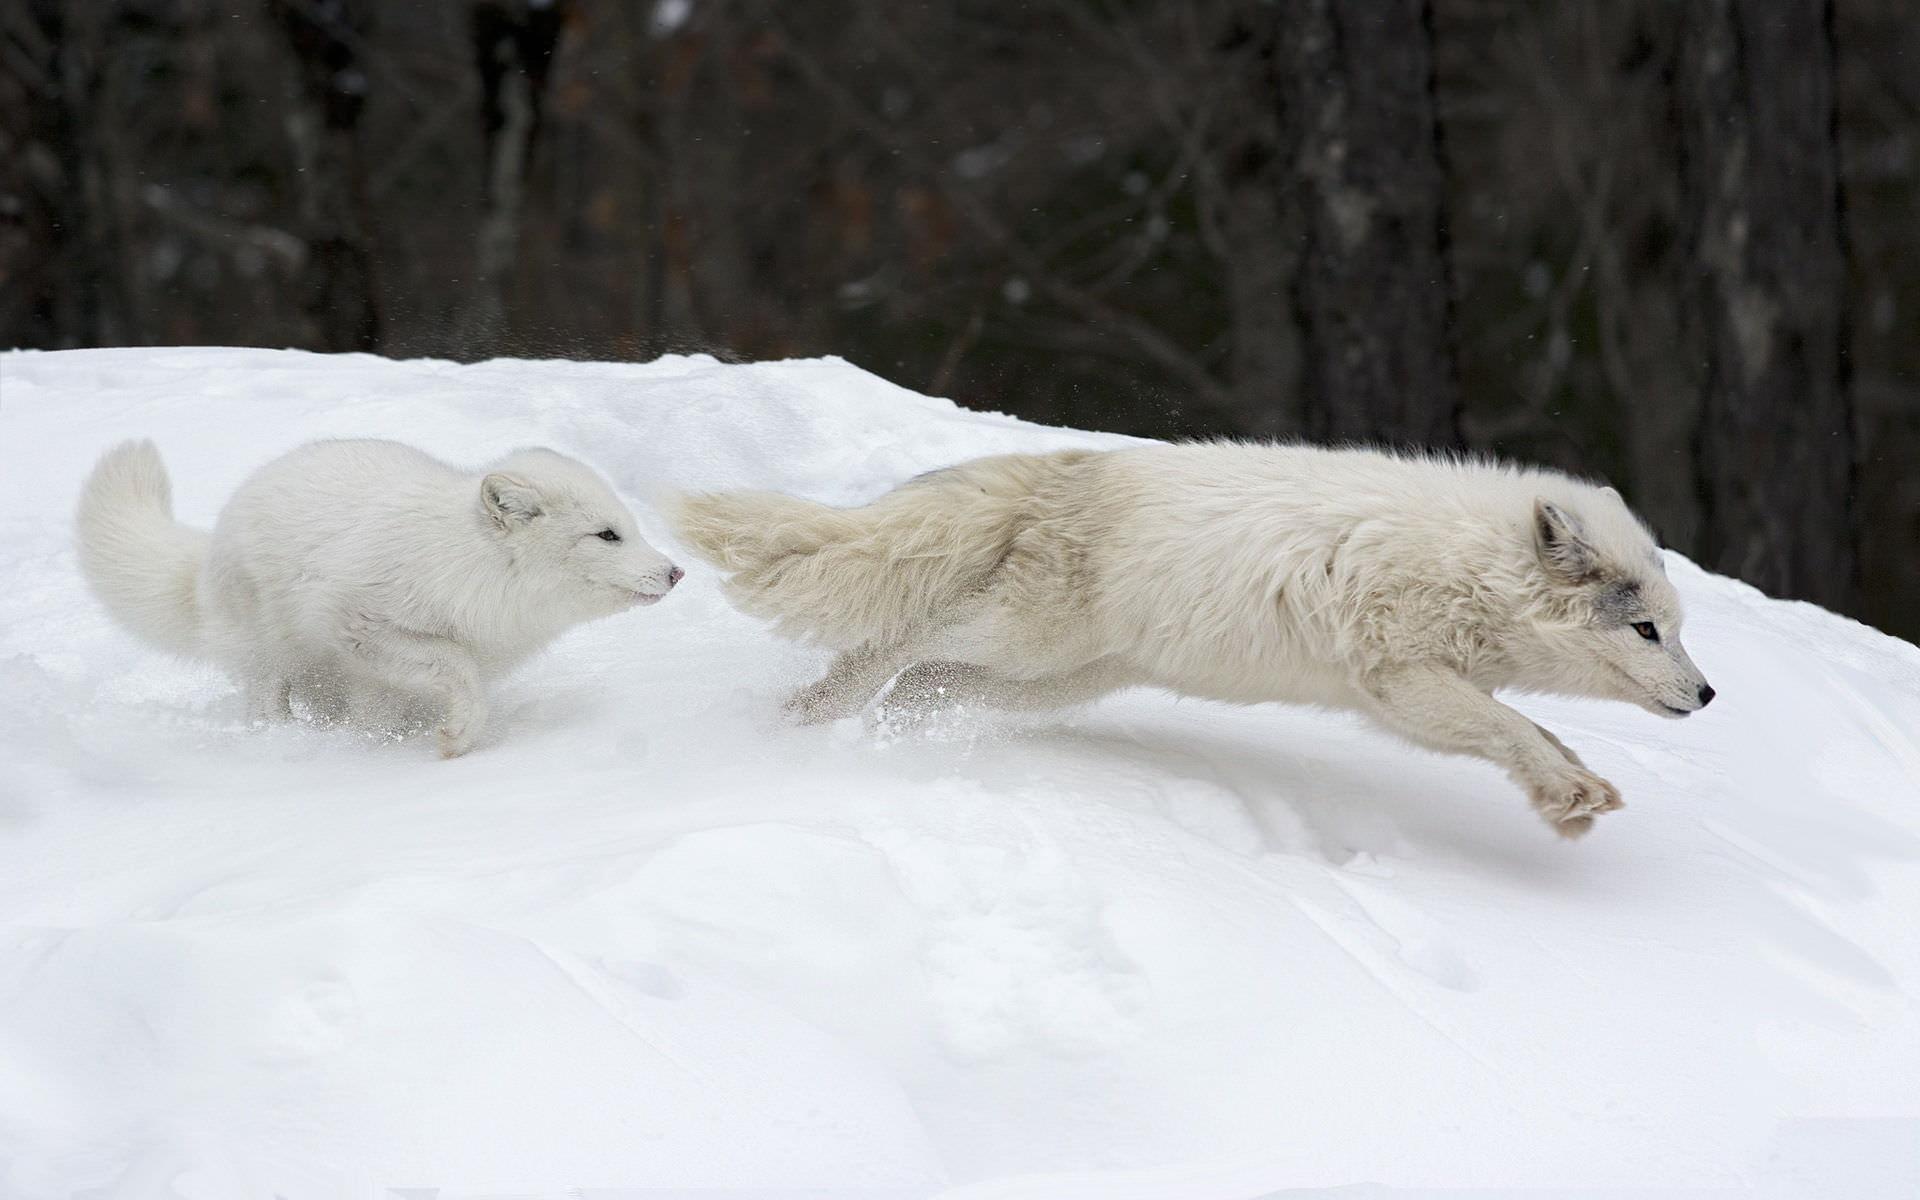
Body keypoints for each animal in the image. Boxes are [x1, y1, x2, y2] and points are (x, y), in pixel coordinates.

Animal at [76, 438, 682, 756]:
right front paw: (457, 739)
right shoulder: (359, 622)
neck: (474, 567)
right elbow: (458, 671)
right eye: (607, 535)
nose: (675, 572)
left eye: (630, 528)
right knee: (266, 704)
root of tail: (208, 550)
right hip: (272, 657)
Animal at [674, 443, 1715, 838]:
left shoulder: (1431, 688)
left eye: (1677, 630)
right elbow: (1514, 731)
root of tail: (1061, 467)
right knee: (884, 648)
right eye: (1648, 629)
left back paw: (871, 737)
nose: (1708, 697)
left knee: (920, 679)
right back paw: (797, 722)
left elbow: (1540, 734)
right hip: (1019, 642)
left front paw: (1573, 796)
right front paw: (1568, 795)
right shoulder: (1401, 684)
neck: (1474, 568)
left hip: (1045, 679)